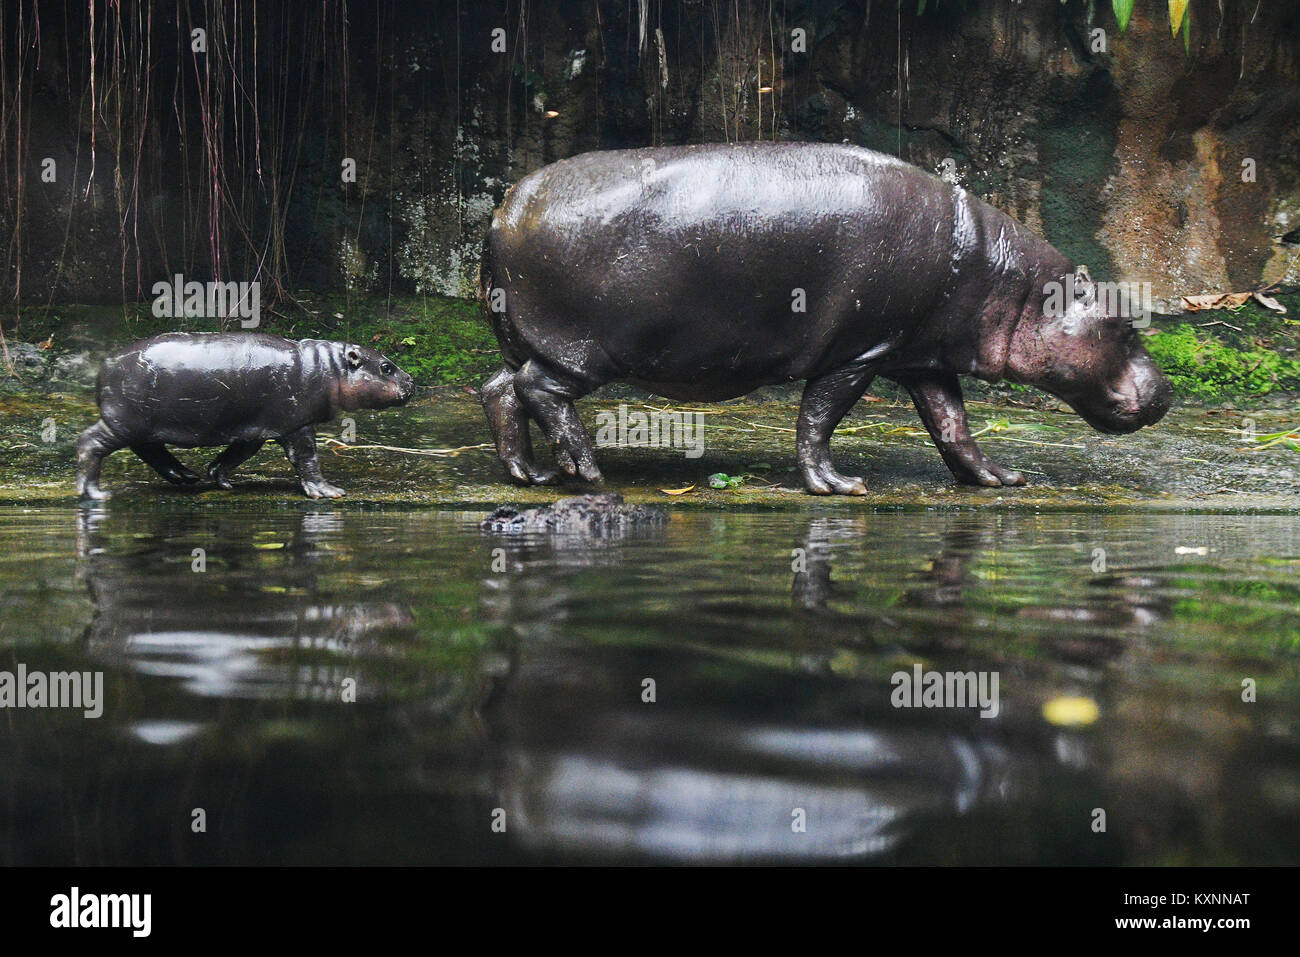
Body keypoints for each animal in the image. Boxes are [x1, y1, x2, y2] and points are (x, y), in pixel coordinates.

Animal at [75, 332, 414, 500]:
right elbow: (307, 458)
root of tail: (104, 364)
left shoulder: (254, 427)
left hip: (140, 424)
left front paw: (220, 479)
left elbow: (235, 455)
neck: (329, 366)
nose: (412, 381)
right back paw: (94, 494)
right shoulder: (298, 423)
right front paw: (328, 492)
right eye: (386, 367)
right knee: (89, 443)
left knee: (149, 449)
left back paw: (186, 476)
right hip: (124, 422)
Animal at [479, 142, 1172, 494]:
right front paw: (839, 486)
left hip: (531, 341)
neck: (1008, 281)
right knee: (539, 389)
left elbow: (953, 424)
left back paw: (532, 474)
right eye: (1127, 326)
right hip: (585, 348)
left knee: (498, 388)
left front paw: (1001, 478)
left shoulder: (919, 355)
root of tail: (501, 211)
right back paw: (587, 471)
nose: (1167, 393)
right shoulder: (860, 350)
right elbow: (819, 417)